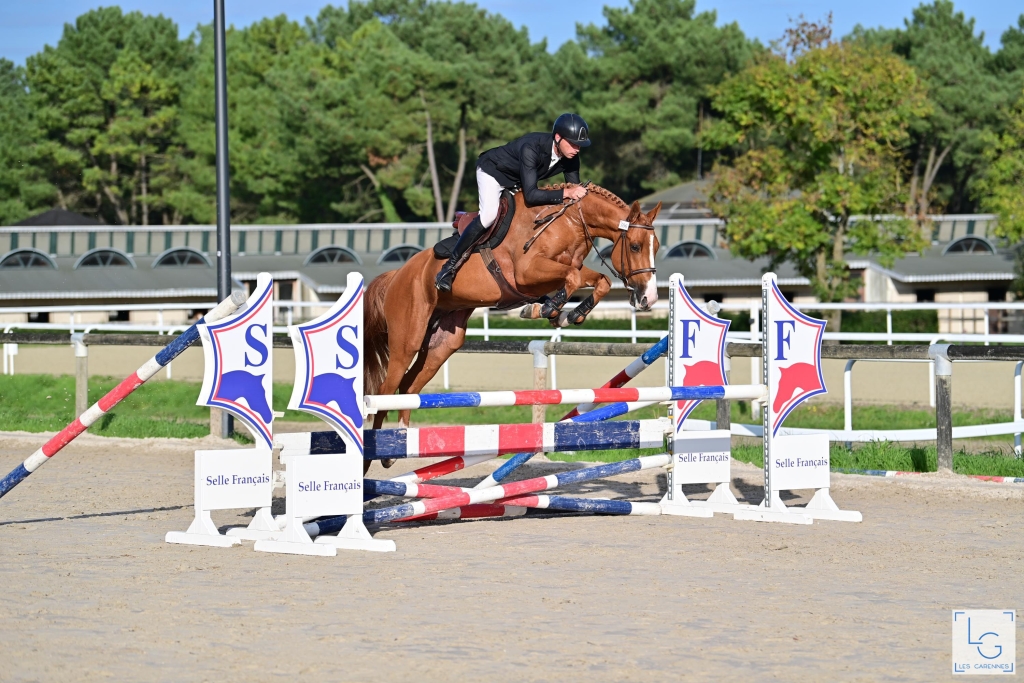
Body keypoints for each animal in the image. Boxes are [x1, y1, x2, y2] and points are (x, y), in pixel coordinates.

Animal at [362, 183, 662, 444]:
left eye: (656, 247)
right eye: (635, 246)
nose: (649, 298)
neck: (570, 221)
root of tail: (397, 274)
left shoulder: (564, 269)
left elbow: (598, 280)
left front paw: (569, 314)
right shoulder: (527, 273)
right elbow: (574, 278)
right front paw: (548, 308)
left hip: (441, 345)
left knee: (409, 387)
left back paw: (396, 445)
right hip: (407, 340)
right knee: (386, 390)